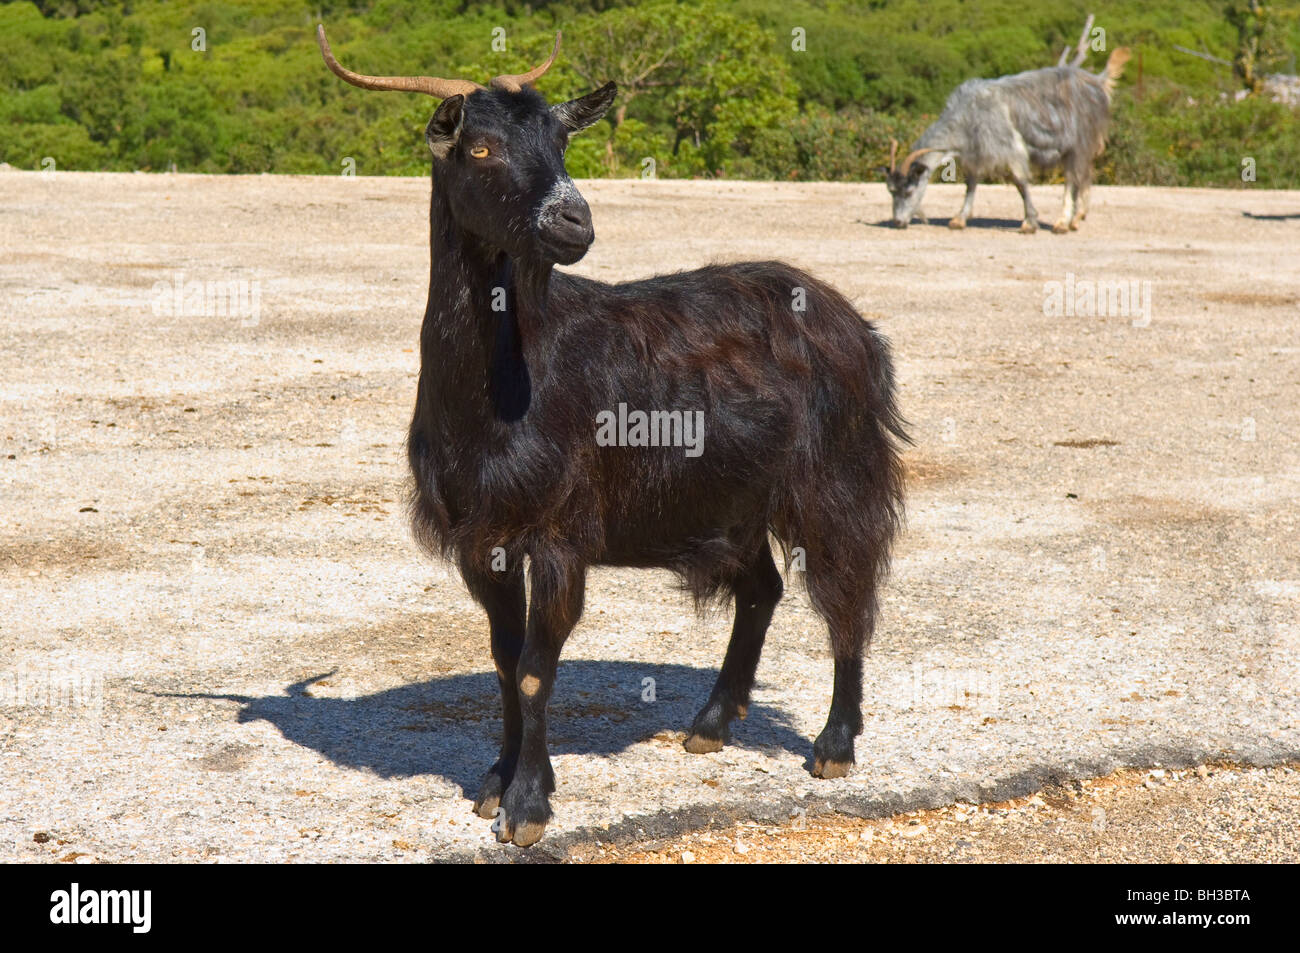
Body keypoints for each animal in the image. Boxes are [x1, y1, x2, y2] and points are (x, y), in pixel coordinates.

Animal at [318, 25, 906, 846]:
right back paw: (711, 722)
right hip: (733, 498)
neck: (507, 381)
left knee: (848, 592)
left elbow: (537, 667)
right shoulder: (481, 537)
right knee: (763, 587)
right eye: (479, 147)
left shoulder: (562, 529)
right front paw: (495, 781)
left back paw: (833, 745)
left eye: (562, 140)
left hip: (835, 473)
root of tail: (852, 322)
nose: (575, 222)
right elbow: (504, 660)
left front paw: (529, 805)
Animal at [881, 46, 1130, 233]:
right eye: (891, 191)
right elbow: (971, 183)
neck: (967, 114)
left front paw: (1030, 222)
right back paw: (1077, 218)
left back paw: (1065, 222)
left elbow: (1020, 183)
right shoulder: (976, 151)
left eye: (909, 191)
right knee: (1081, 176)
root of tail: (1097, 82)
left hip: (1079, 143)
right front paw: (959, 219)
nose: (898, 222)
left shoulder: (1009, 147)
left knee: (1074, 178)